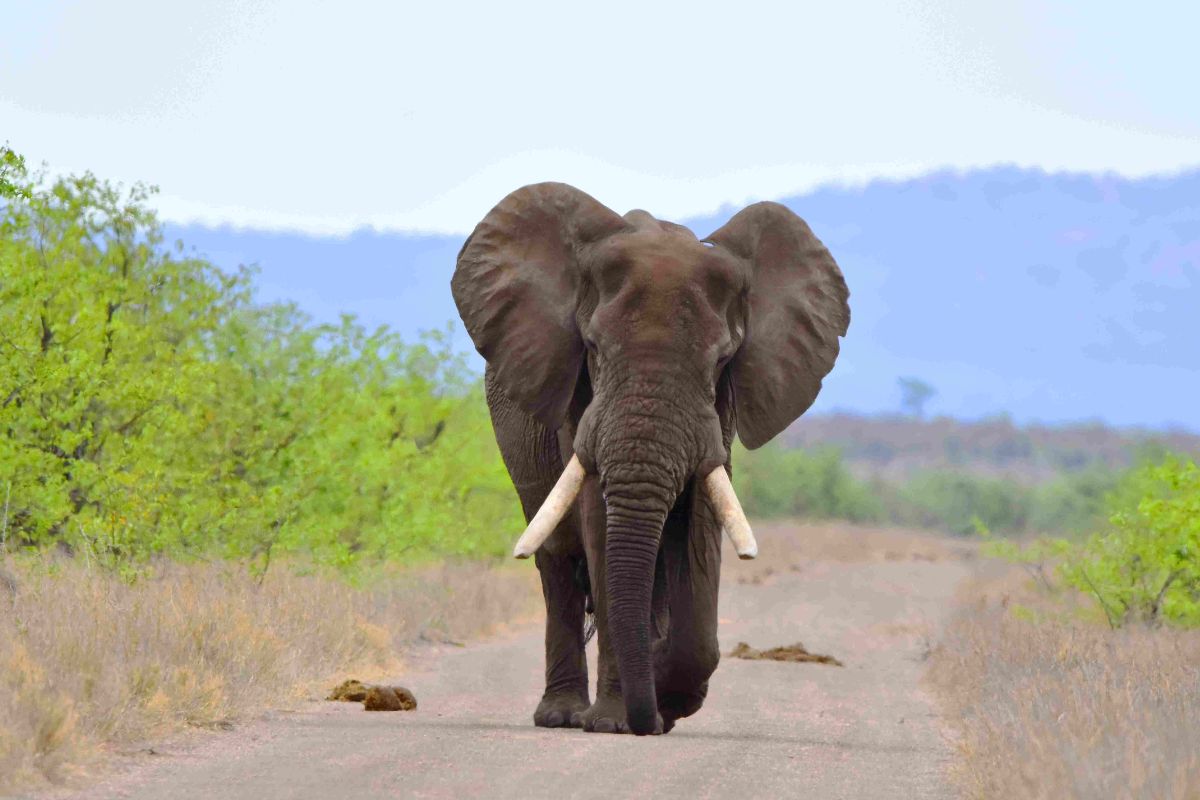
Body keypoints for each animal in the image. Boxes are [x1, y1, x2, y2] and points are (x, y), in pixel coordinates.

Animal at [451, 182, 849, 736]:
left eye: (721, 360)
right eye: (593, 348)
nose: (649, 715)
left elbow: (700, 525)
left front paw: (665, 697)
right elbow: (598, 521)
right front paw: (619, 720)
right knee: (557, 560)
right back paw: (562, 715)